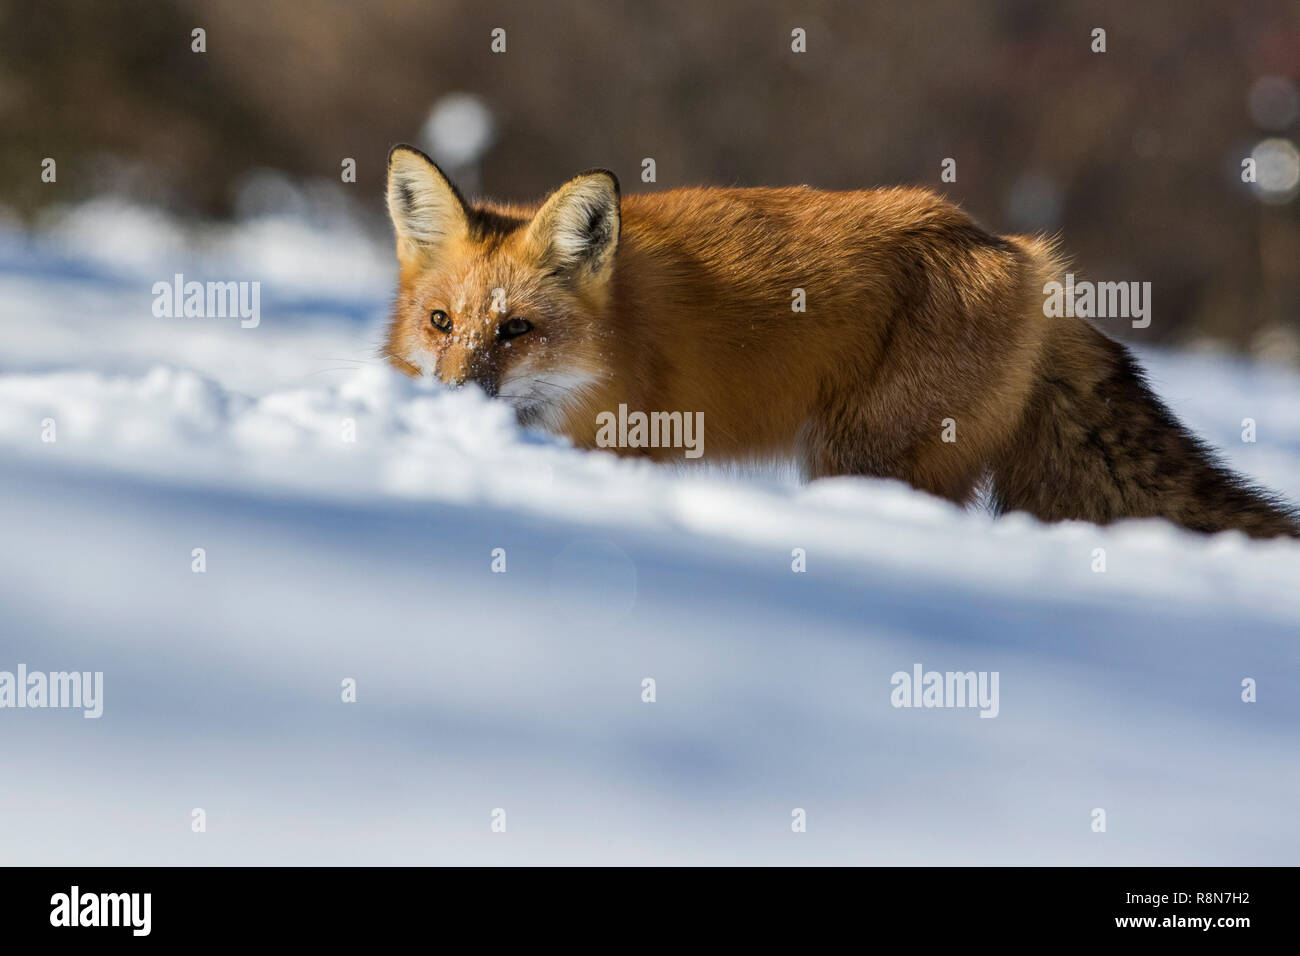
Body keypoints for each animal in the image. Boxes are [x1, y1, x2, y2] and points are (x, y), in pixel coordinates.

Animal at [382, 144, 1300, 539]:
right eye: (441, 324)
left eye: (517, 329)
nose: (452, 399)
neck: (618, 338)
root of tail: (1022, 253)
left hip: (859, 460)